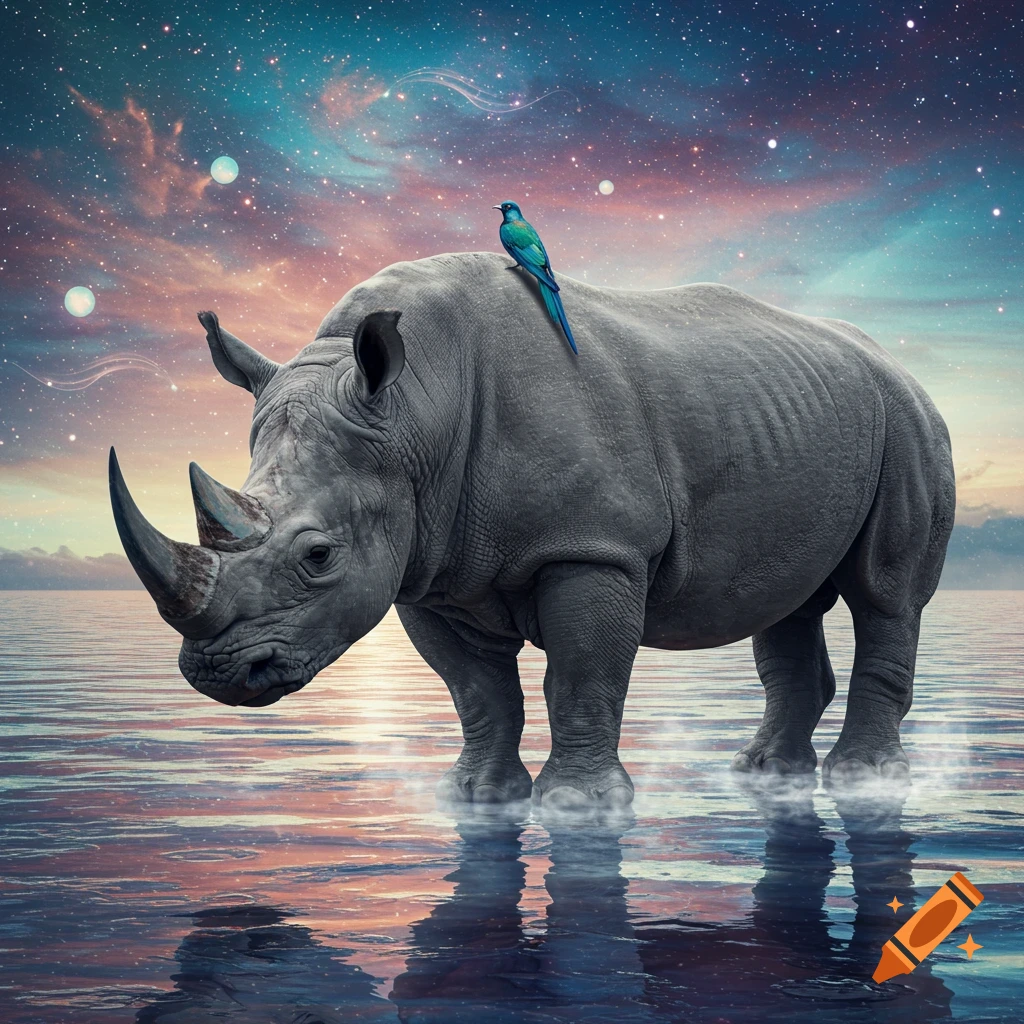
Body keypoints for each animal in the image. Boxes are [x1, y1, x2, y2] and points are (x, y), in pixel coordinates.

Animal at [110, 251, 955, 810]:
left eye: (318, 555)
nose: (217, 673)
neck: (415, 410)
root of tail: (891, 360)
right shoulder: (430, 568)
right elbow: (477, 690)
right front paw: (477, 797)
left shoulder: (594, 547)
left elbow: (581, 675)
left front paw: (580, 810)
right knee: (787, 601)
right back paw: (764, 777)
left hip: (909, 420)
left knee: (886, 594)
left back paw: (864, 782)